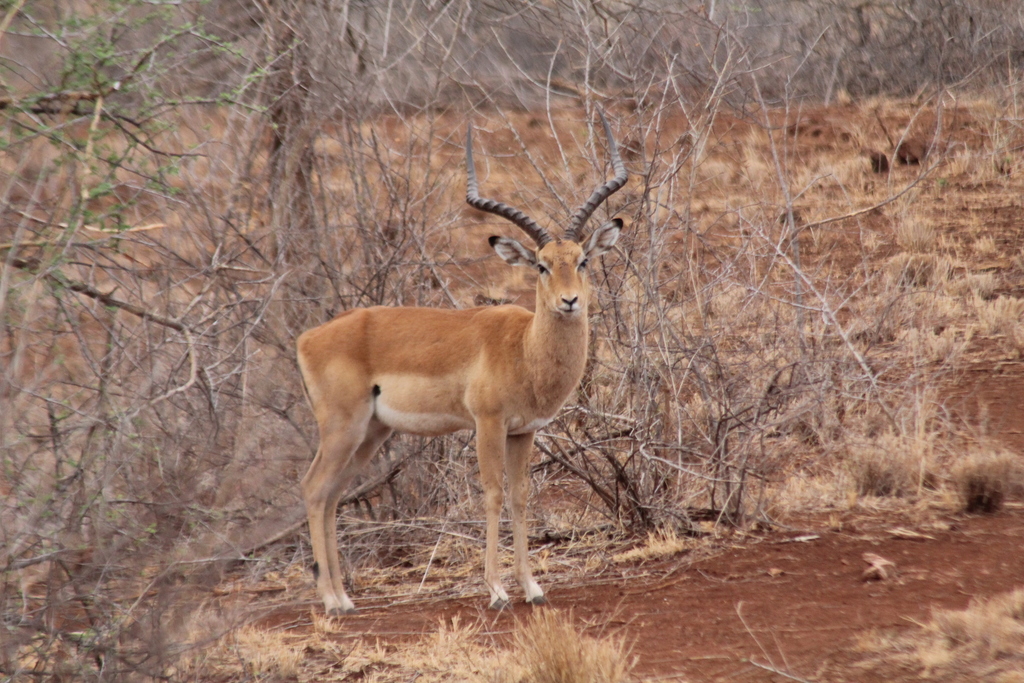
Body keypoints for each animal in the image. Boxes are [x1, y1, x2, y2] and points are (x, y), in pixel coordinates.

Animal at [296, 113, 627, 614]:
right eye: (541, 265)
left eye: (583, 260)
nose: (570, 301)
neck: (523, 348)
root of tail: (308, 338)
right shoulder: (488, 424)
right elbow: (492, 494)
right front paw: (496, 591)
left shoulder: (524, 431)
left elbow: (521, 497)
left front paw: (532, 587)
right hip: (342, 427)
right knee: (315, 490)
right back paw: (333, 601)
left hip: (371, 433)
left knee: (333, 495)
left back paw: (344, 598)